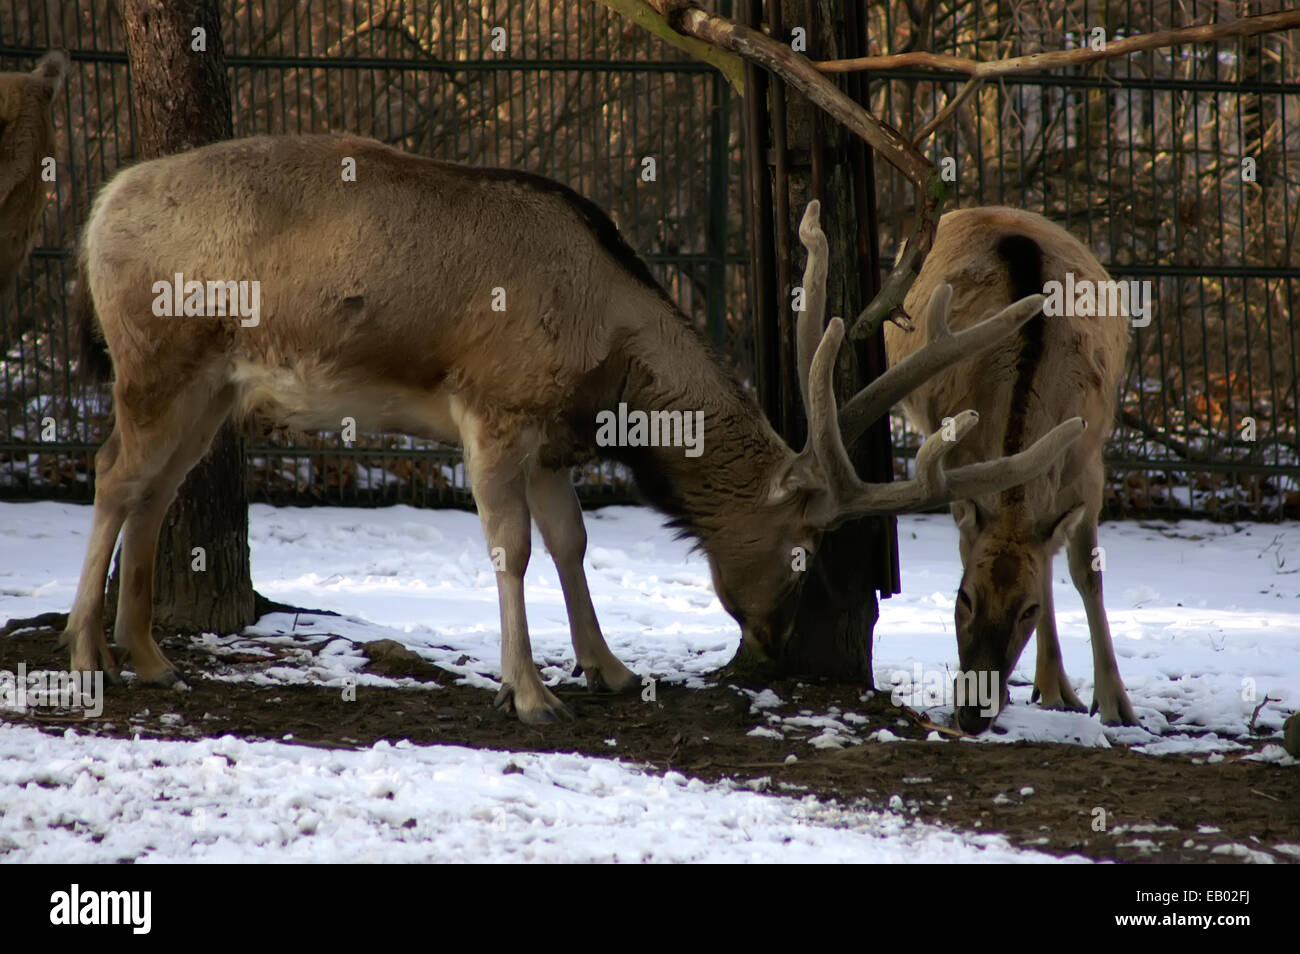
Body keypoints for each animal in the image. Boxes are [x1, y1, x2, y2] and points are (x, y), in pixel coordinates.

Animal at [64, 133, 1087, 723]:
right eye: (806, 552)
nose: (777, 644)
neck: (608, 358)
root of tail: (94, 211)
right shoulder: (493, 407)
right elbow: (511, 547)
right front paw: (529, 693)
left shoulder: (553, 440)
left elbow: (571, 542)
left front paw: (612, 670)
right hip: (155, 354)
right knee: (113, 473)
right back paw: (85, 654)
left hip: (213, 386)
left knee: (155, 488)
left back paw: (150, 657)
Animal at [884, 206, 1138, 732]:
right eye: (963, 597)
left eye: (1028, 609)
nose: (972, 713)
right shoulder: (963, 465)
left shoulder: (1089, 464)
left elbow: (1088, 575)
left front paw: (1115, 704)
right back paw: (1052, 685)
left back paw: (1056, 686)